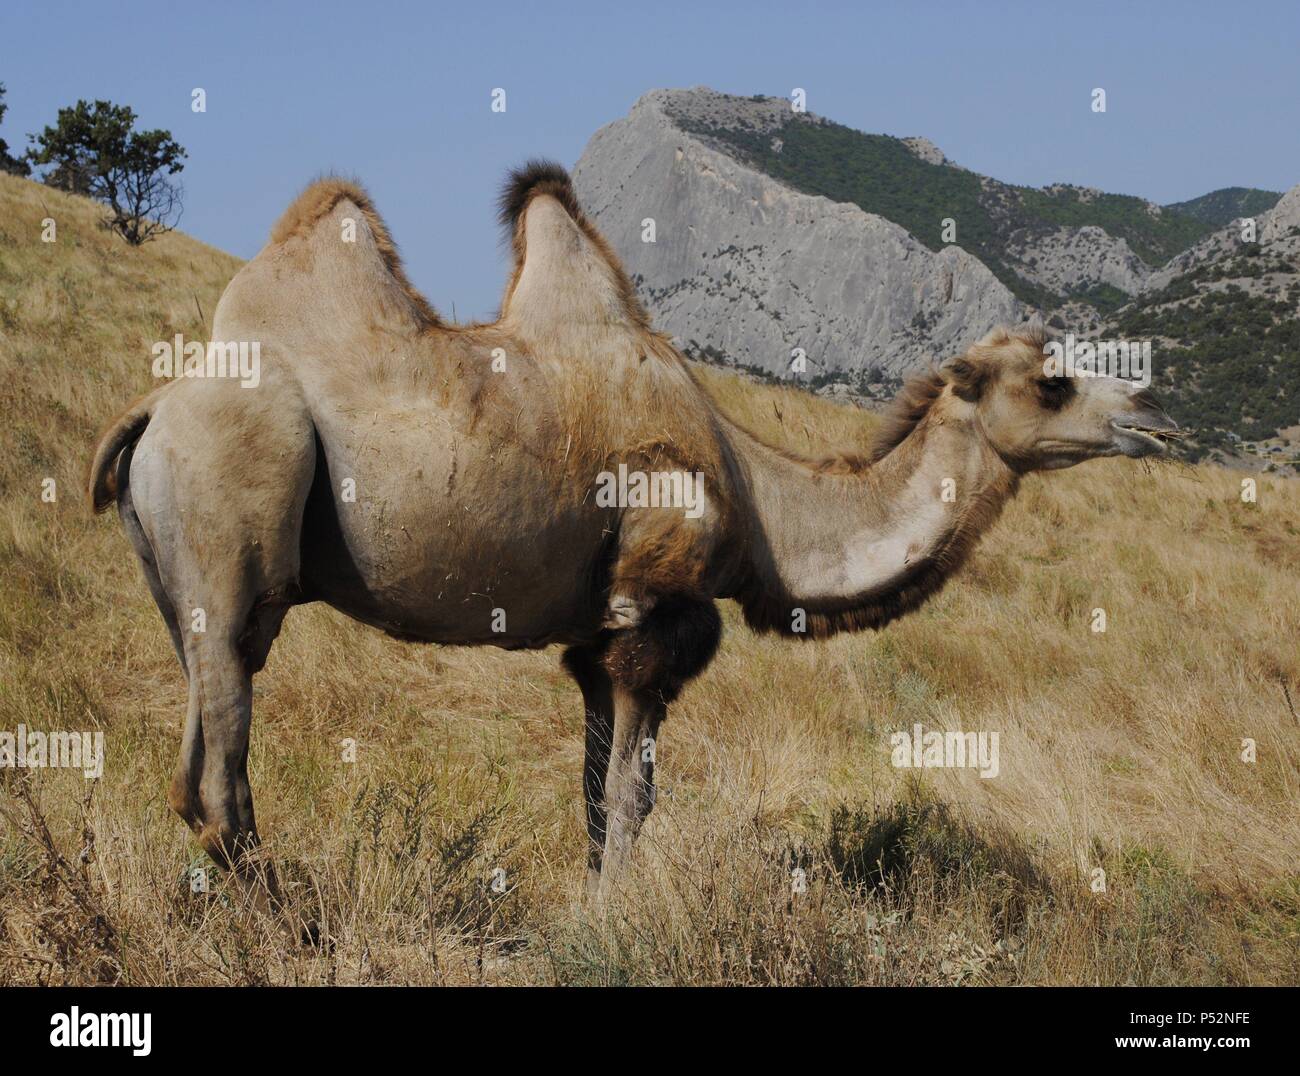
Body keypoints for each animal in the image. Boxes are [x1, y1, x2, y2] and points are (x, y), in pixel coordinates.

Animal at [88, 161, 1179, 922]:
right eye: (1052, 382)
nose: (1155, 417)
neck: (762, 509)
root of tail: (150, 413)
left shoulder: (592, 639)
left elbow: (593, 794)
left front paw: (593, 904)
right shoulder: (653, 615)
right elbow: (631, 795)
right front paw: (612, 920)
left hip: (196, 592)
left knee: (196, 753)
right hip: (234, 506)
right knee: (221, 776)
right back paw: (293, 924)